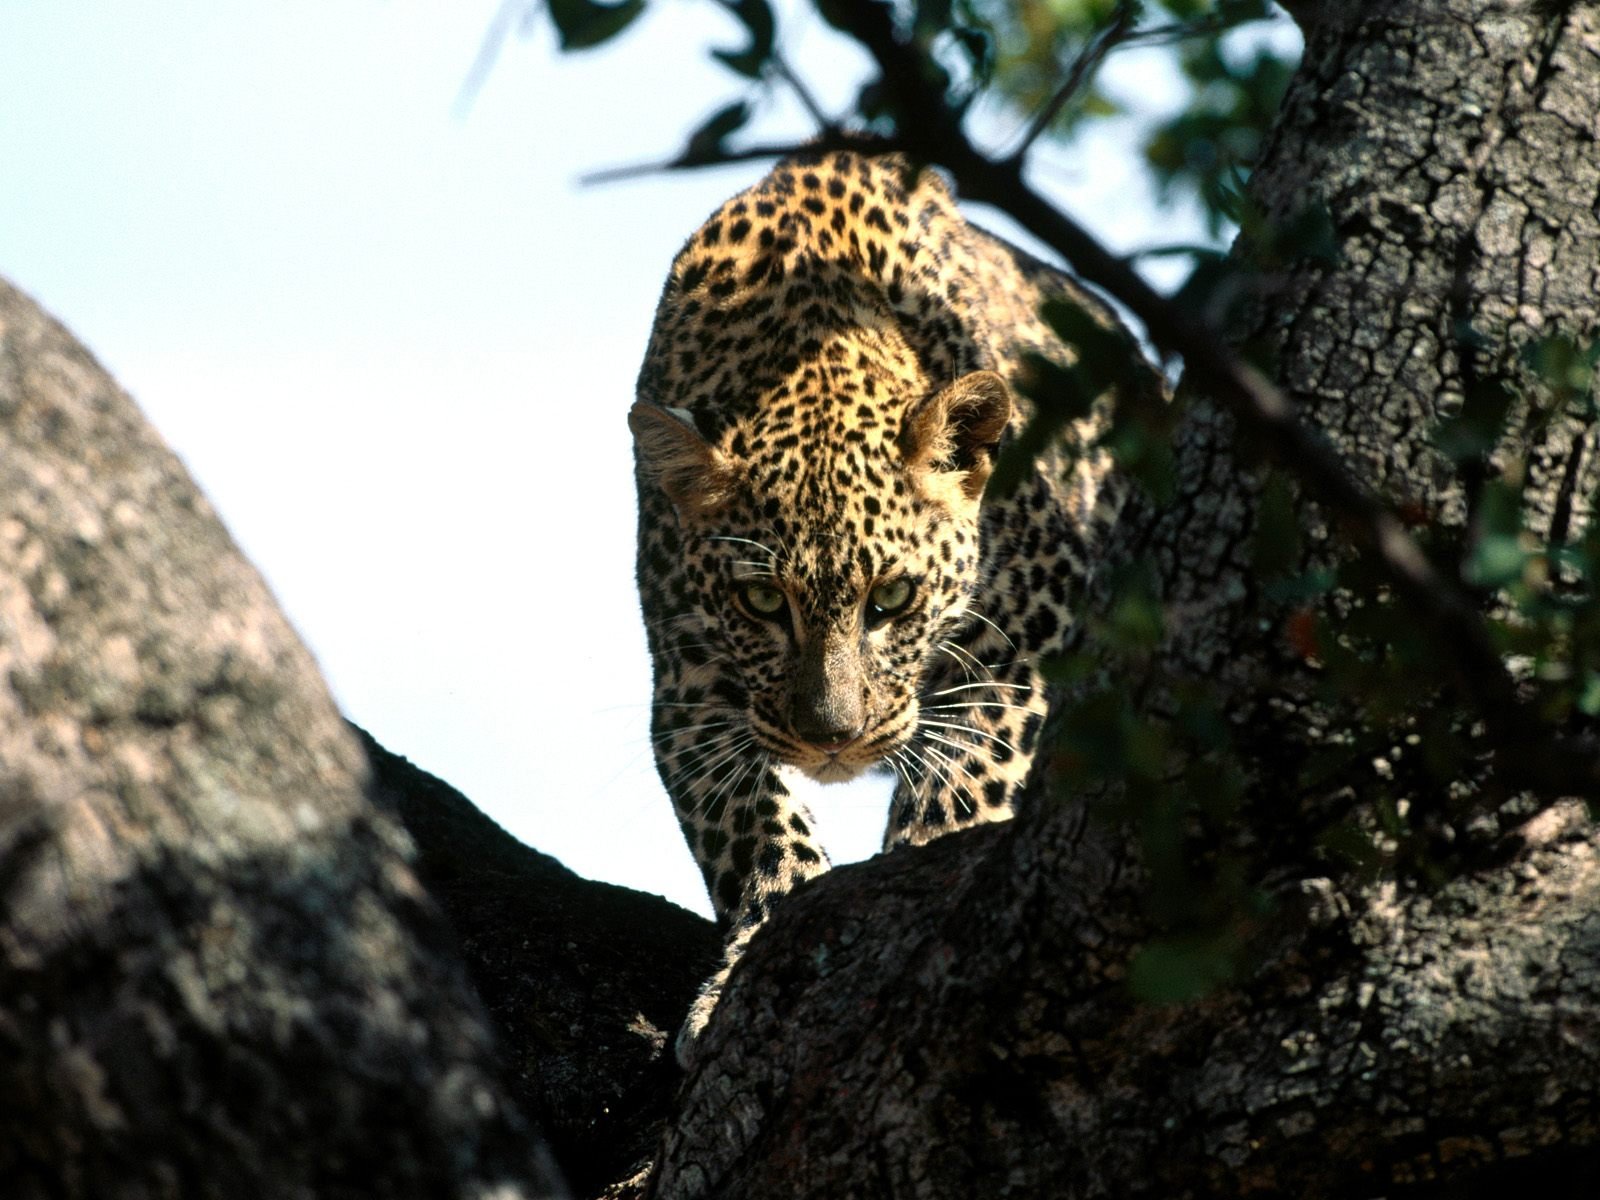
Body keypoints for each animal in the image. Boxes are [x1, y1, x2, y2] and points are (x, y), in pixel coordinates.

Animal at [630, 150, 1143, 1063]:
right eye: (760, 600)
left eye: (893, 597)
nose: (833, 740)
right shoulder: (688, 690)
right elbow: (752, 827)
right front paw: (750, 958)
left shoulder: (1024, 641)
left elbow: (962, 785)